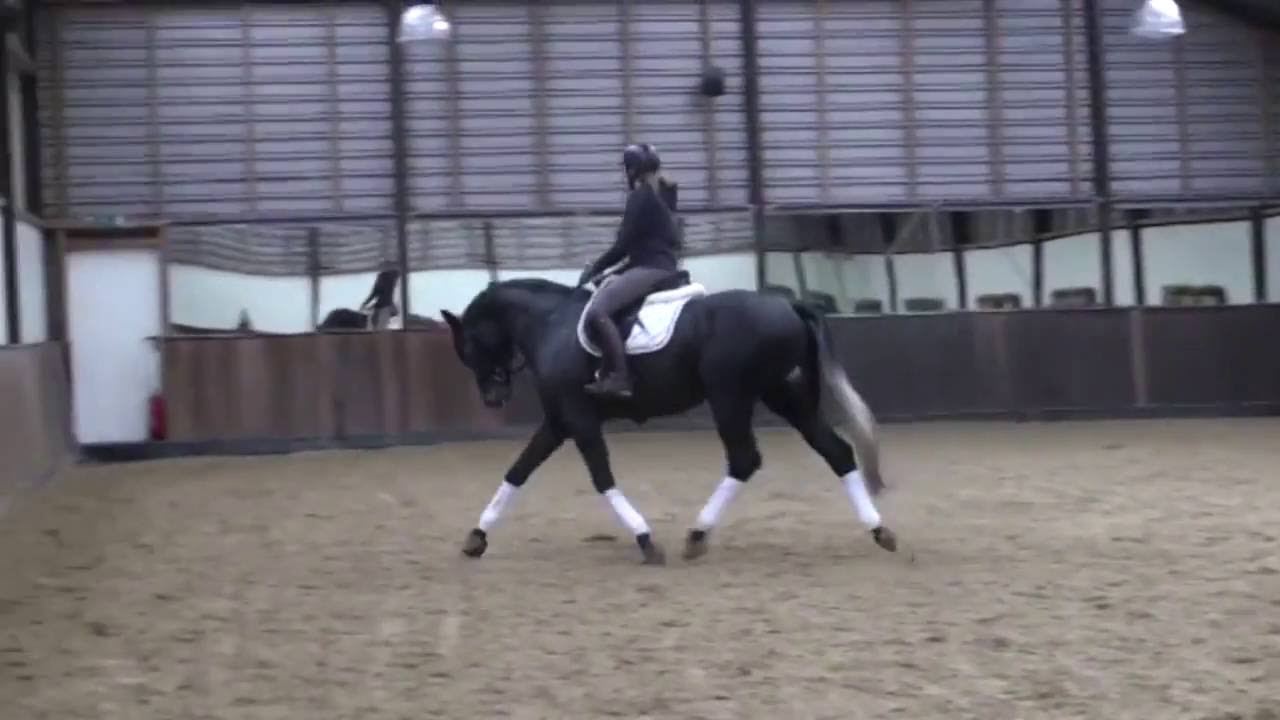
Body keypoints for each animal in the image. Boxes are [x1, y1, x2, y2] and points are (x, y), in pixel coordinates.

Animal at [440, 269, 897, 565]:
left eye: (468, 347)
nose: (493, 398)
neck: (551, 325)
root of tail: (787, 303)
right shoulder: (558, 421)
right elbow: (518, 470)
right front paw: (476, 538)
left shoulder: (579, 417)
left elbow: (601, 477)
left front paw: (645, 540)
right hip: (785, 396)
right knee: (836, 451)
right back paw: (878, 530)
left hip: (729, 395)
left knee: (744, 459)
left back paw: (697, 535)